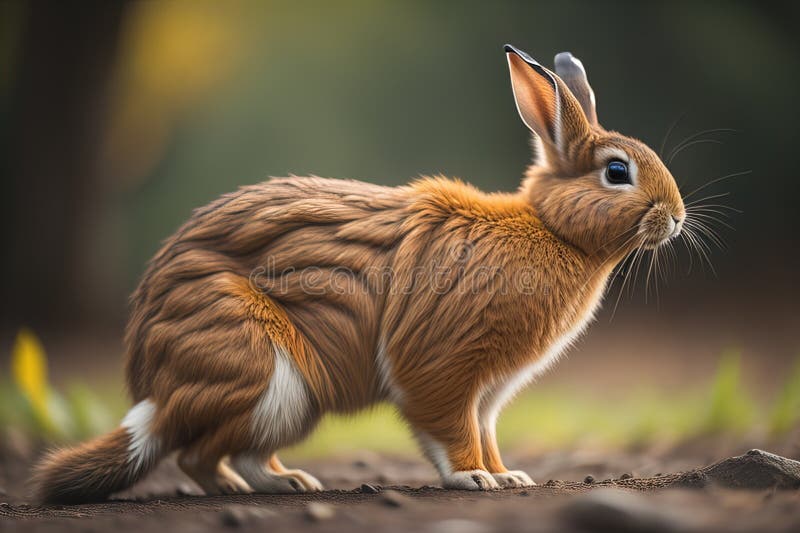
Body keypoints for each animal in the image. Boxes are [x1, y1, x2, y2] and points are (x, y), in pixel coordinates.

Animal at [34, 44, 685, 503]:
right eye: (617, 171)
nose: (678, 217)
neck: (552, 229)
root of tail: (152, 384)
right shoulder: (442, 365)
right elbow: (449, 429)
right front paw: (474, 480)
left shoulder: (488, 396)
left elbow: (486, 433)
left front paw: (508, 476)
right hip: (269, 374)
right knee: (199, 456)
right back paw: (259, 489)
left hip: (288, 401)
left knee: (231, 453)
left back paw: (291, 482)